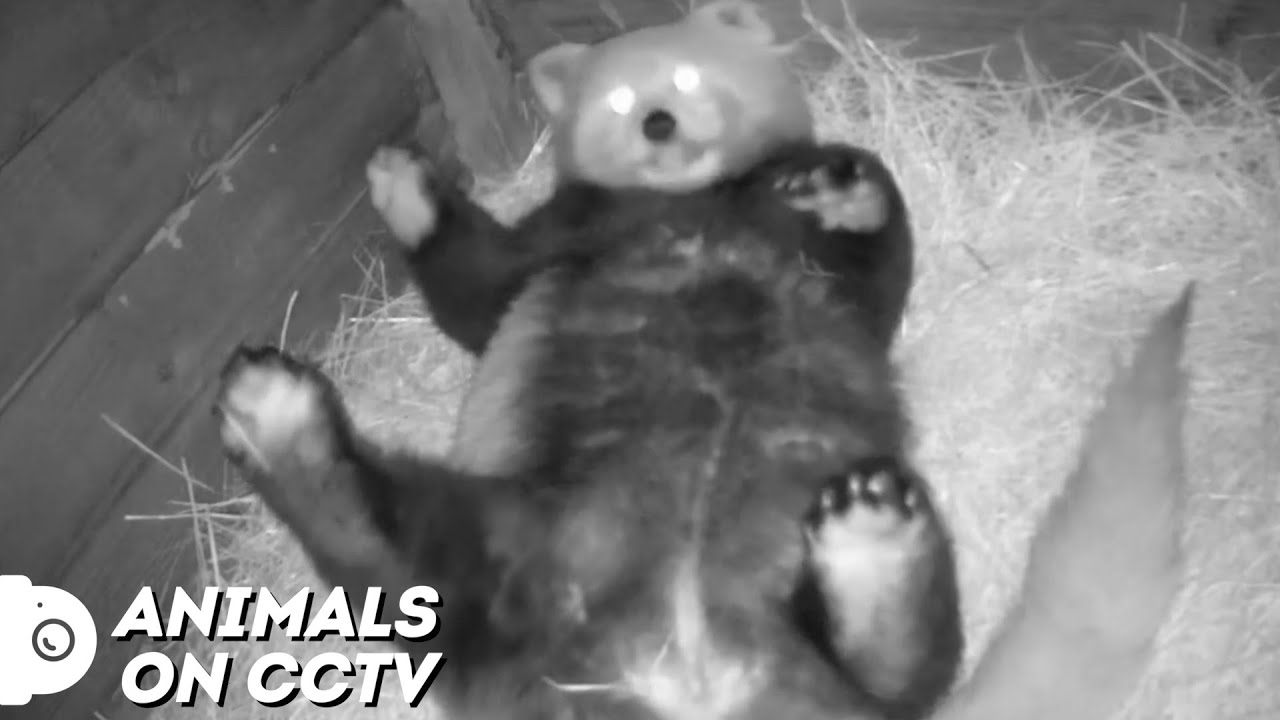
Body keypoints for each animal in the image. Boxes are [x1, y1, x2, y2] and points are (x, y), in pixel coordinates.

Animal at [213, 135, 1195, 720]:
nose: (813, 157)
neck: (712, 209)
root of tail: (686, 677)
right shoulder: (541, 256)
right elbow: (469, 276)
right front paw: (406, 186)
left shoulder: (855, 293)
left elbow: (887, 252)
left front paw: (846, 189)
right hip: (513, 539)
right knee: (378, 554)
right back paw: (282, 426)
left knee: (897, 677)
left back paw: (873, 546)